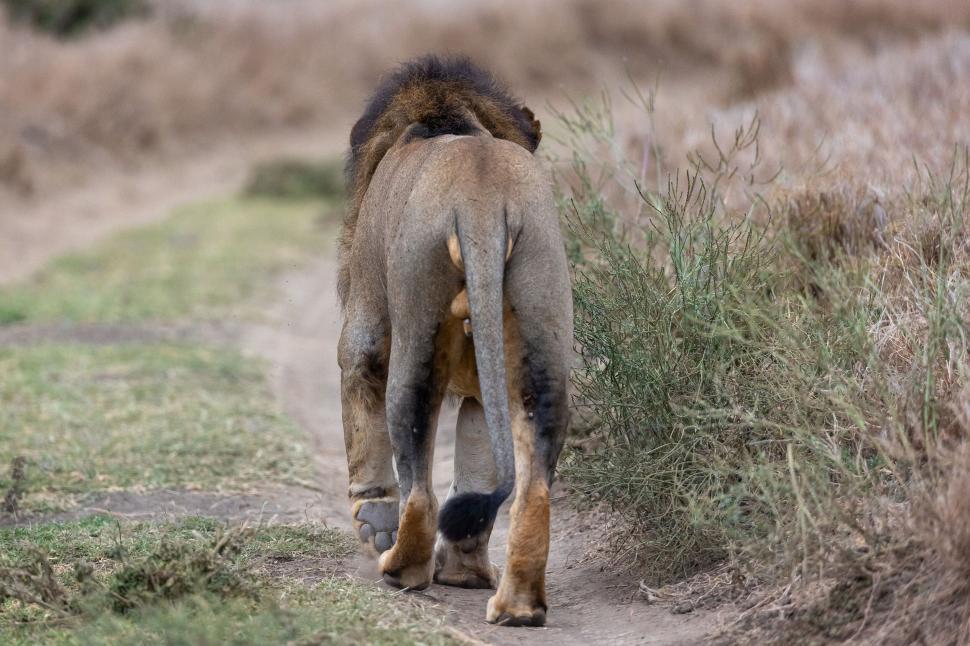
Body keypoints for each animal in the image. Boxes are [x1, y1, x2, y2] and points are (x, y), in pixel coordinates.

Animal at [337, 55, 572, 627]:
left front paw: (375, 521)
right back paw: (516, 607)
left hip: (416, 316)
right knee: (532, 484)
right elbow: (476, 457)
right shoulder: (482, 386)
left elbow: (361, 403)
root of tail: (481, 198)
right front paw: (463, 573)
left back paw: (400, 566)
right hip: (541, 306)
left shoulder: (363, 328)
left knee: (418, 479)